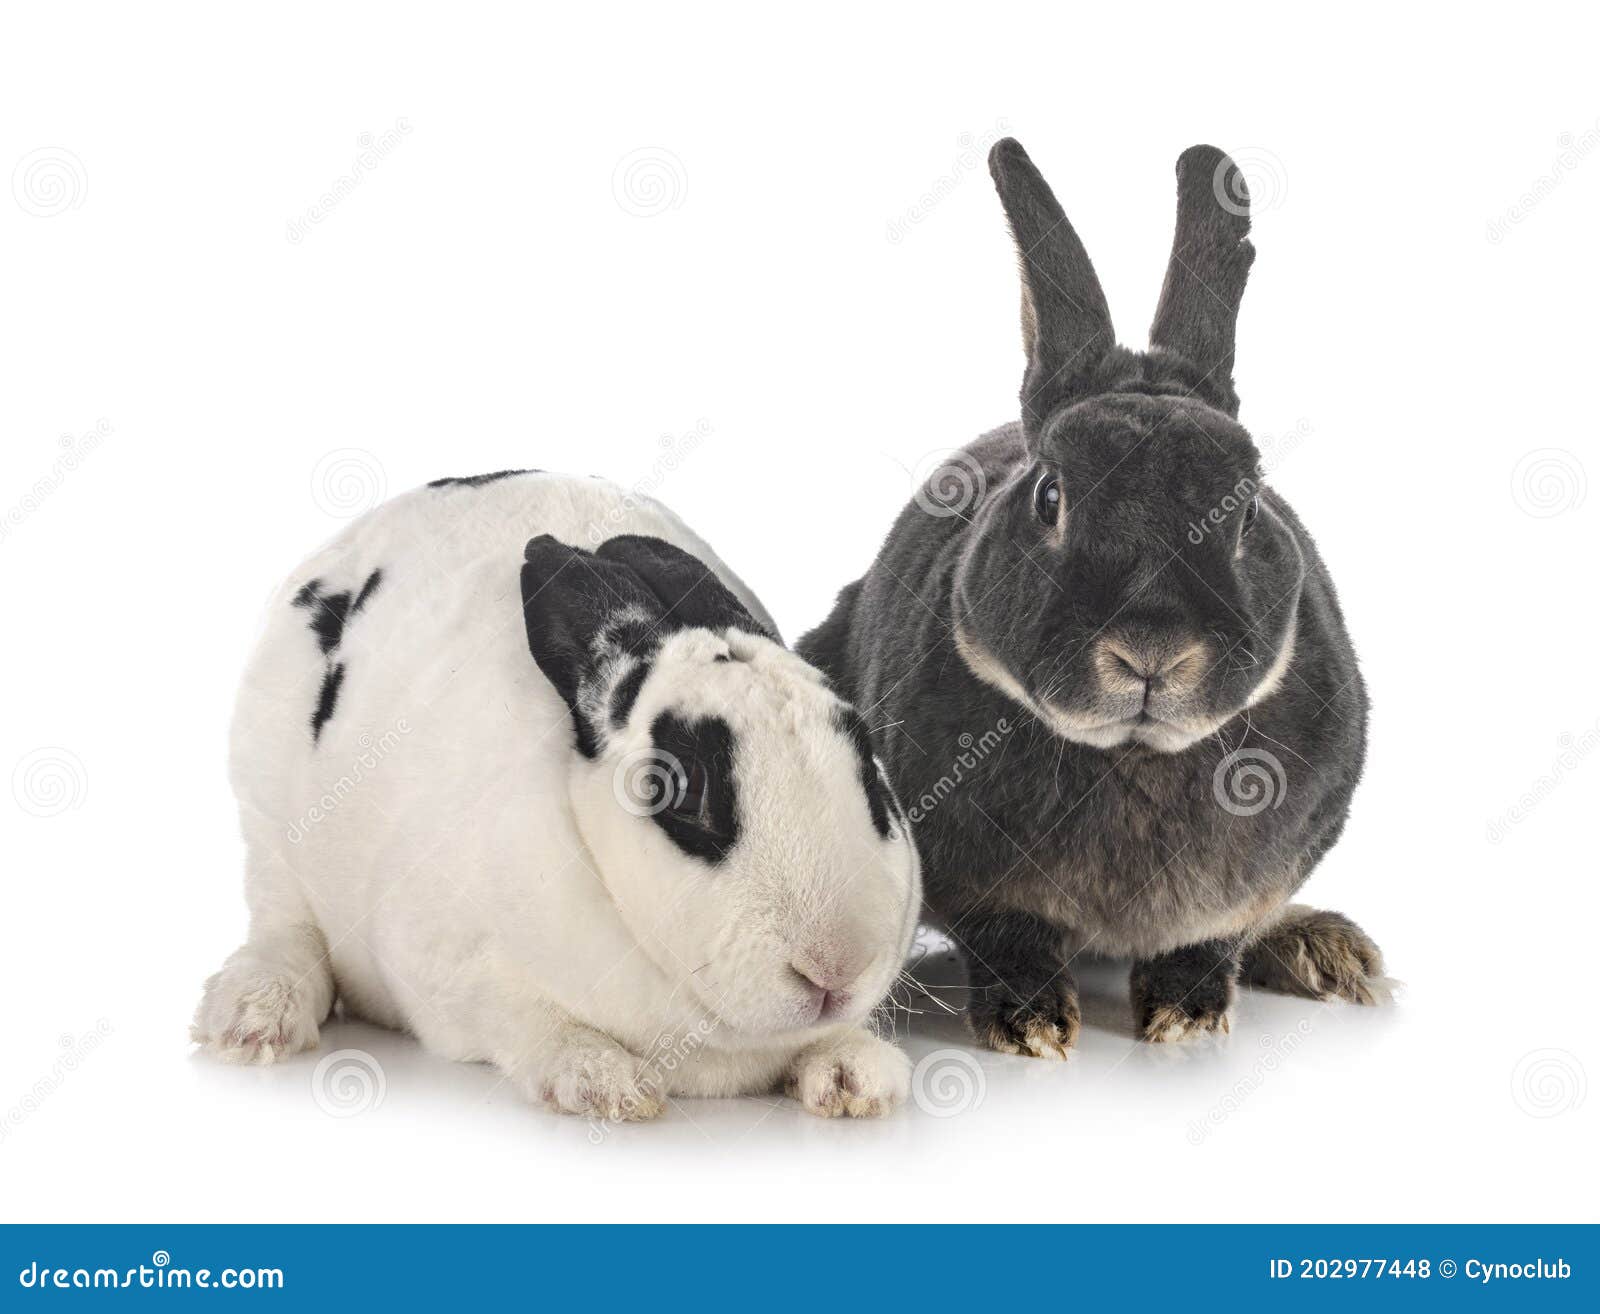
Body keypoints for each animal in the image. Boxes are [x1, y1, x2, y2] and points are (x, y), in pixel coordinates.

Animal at [193, 469, 921, 1120]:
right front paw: (609, 1085)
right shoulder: (451, 975)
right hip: (267, 827)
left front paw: (858, 1076)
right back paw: (252, 1019)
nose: (837, 969)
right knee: (284, 925)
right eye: (676, 793)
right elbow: (530, 1023)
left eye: (869, 768)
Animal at [799, 140, 1389, 1056]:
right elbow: (1011, 938)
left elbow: (1208, 940)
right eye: (1051, 496)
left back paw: (1325, 952)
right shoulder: (979, 889)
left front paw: (1187, 1017)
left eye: (1248, 508)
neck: (1134, 756)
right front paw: (1032, 1025)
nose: (1151, 648)